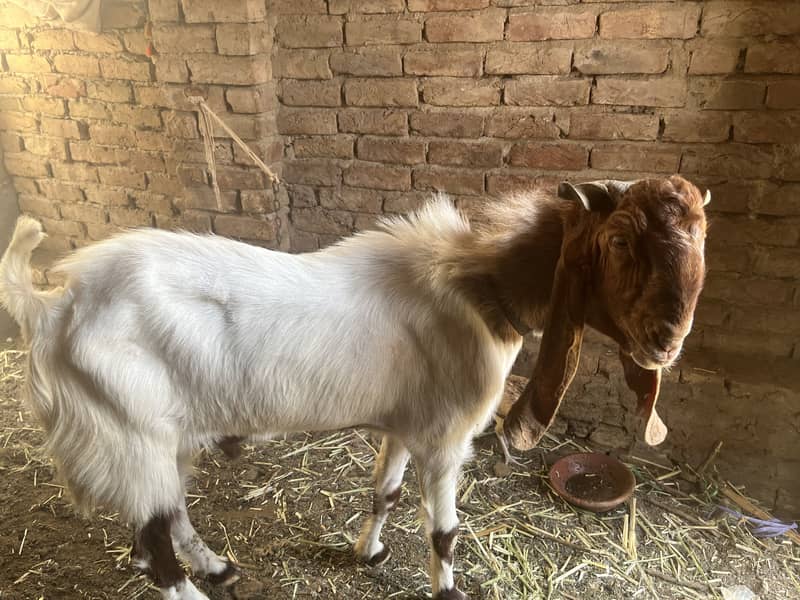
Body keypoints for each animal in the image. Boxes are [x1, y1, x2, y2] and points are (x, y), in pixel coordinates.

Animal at [0, 175, 709, 600]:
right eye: (619, 240)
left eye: (703, 235)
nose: (668, 342)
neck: (479, 287)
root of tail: (52, 307)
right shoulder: (444, 438)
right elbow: (444, 530)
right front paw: (447, 589)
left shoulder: (404, 423)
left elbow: (384, 493)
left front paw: (368, 553)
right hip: (129, 431)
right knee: (154, 541)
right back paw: (195, 580)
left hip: (163, 436)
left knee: (168, 517)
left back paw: (218, 566)